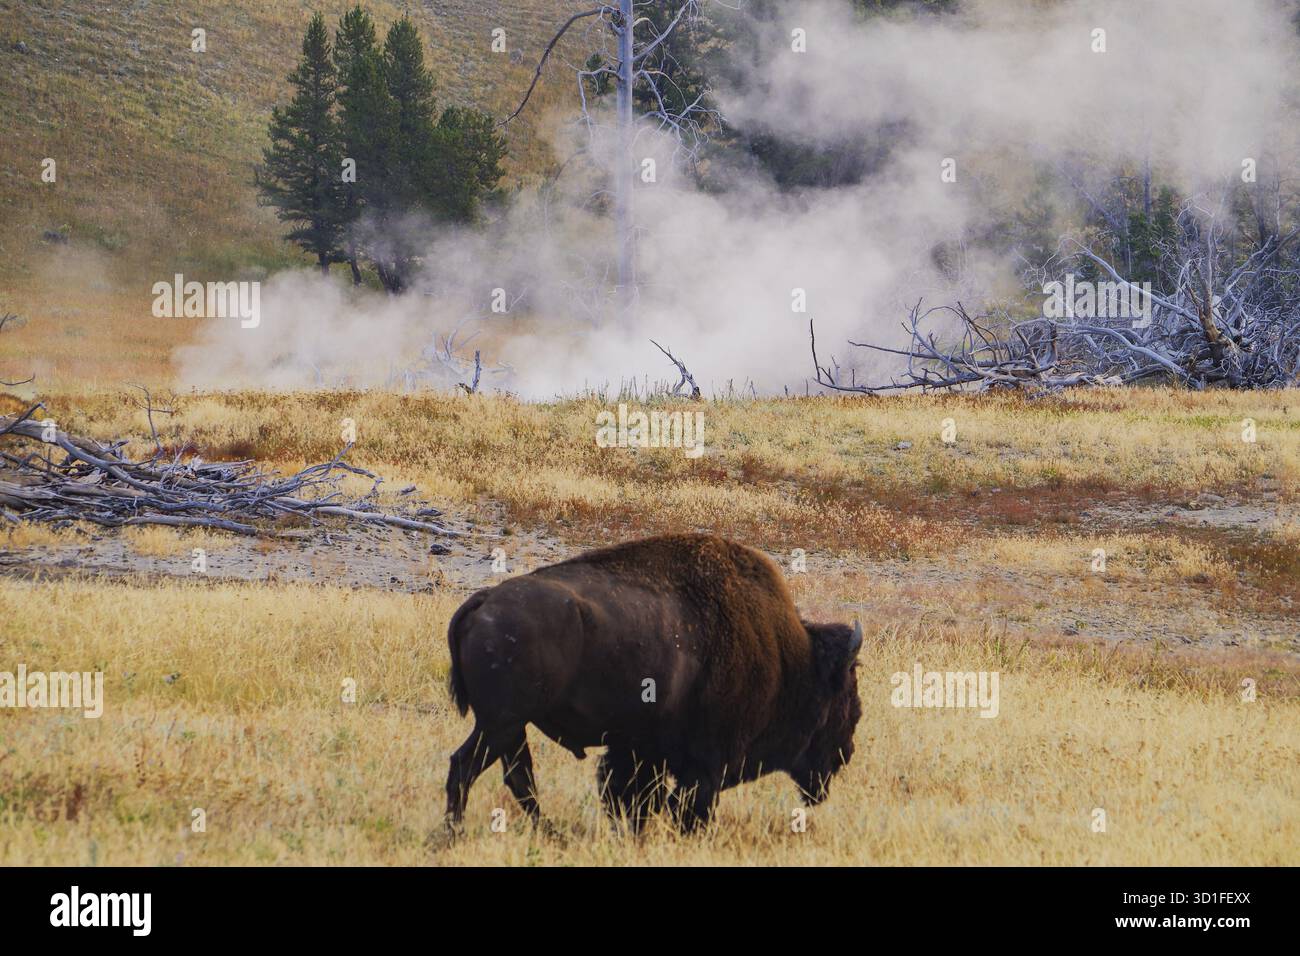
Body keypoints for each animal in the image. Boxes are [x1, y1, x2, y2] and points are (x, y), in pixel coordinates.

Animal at [444, 533, 862, 833]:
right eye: (846, 698)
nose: (846, 752)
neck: (786, 654)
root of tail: (485, 600)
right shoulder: (706, 759)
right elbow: (683, 803)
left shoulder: (638, 749)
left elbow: (631, 794)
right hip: (501, 724)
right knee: (467, 767)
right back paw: (457, 833)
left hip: (510, 728)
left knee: (518, 777)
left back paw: (548, 833)